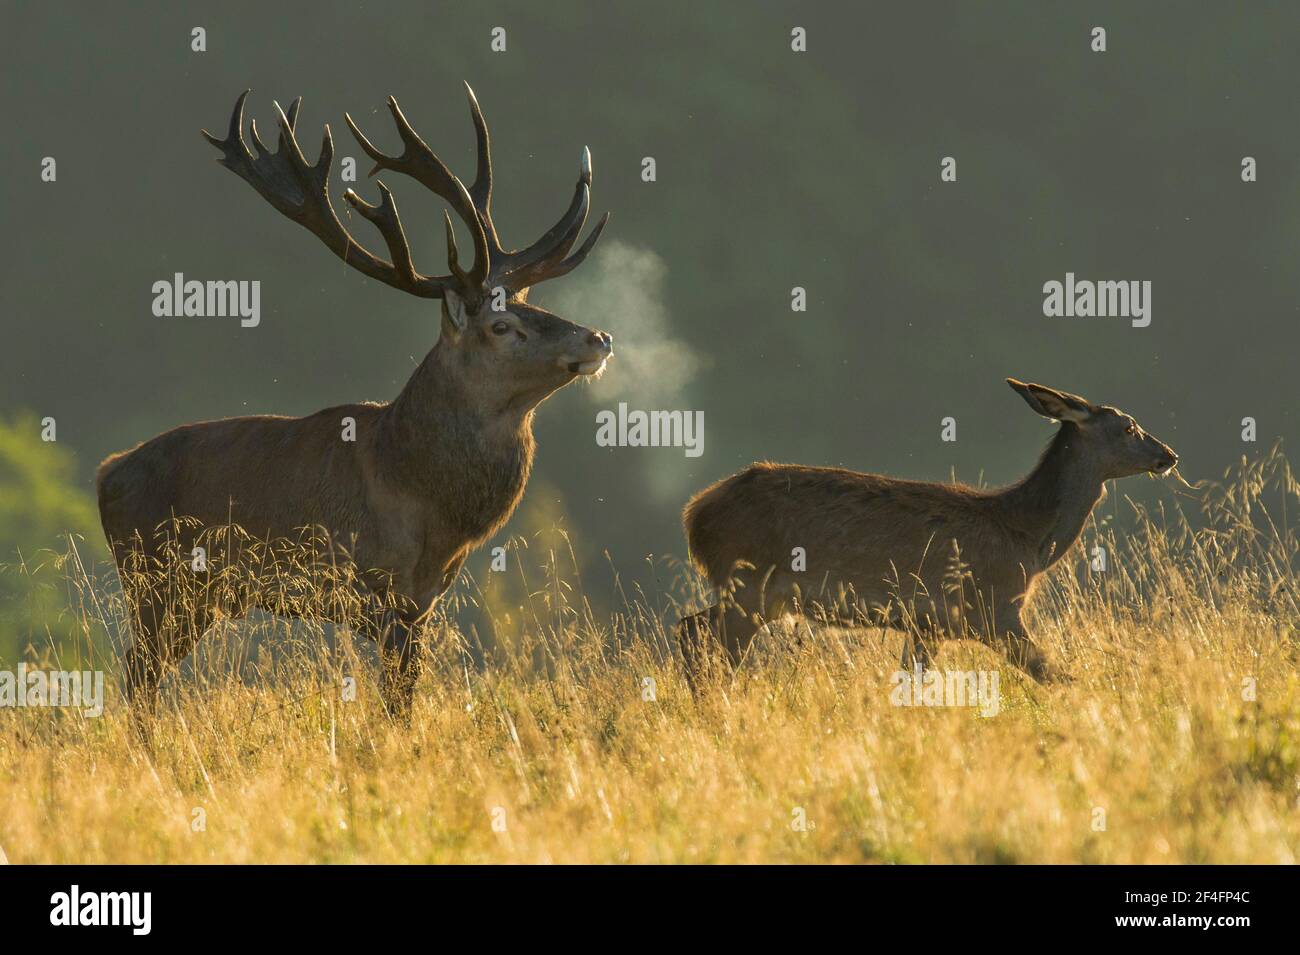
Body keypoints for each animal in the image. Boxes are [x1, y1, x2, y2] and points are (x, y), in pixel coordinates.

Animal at [96, 86, 611, 717]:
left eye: (532, 305)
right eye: (501, 326)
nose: (597, 338)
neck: (427, 497)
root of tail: (107, 473)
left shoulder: (425, 601)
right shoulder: (382, 590)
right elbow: (396, 707)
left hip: (194, 595)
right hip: (156, 580)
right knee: (136, 676)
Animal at [677, 379, 1179, 686]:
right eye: (1129, 427)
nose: (1169, 455)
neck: (1026, 538)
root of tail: (695, 514)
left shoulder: (928, 624)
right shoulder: (993, 609)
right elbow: (1055, 674)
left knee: (692, 628)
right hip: (750, 583)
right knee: (703, 639)